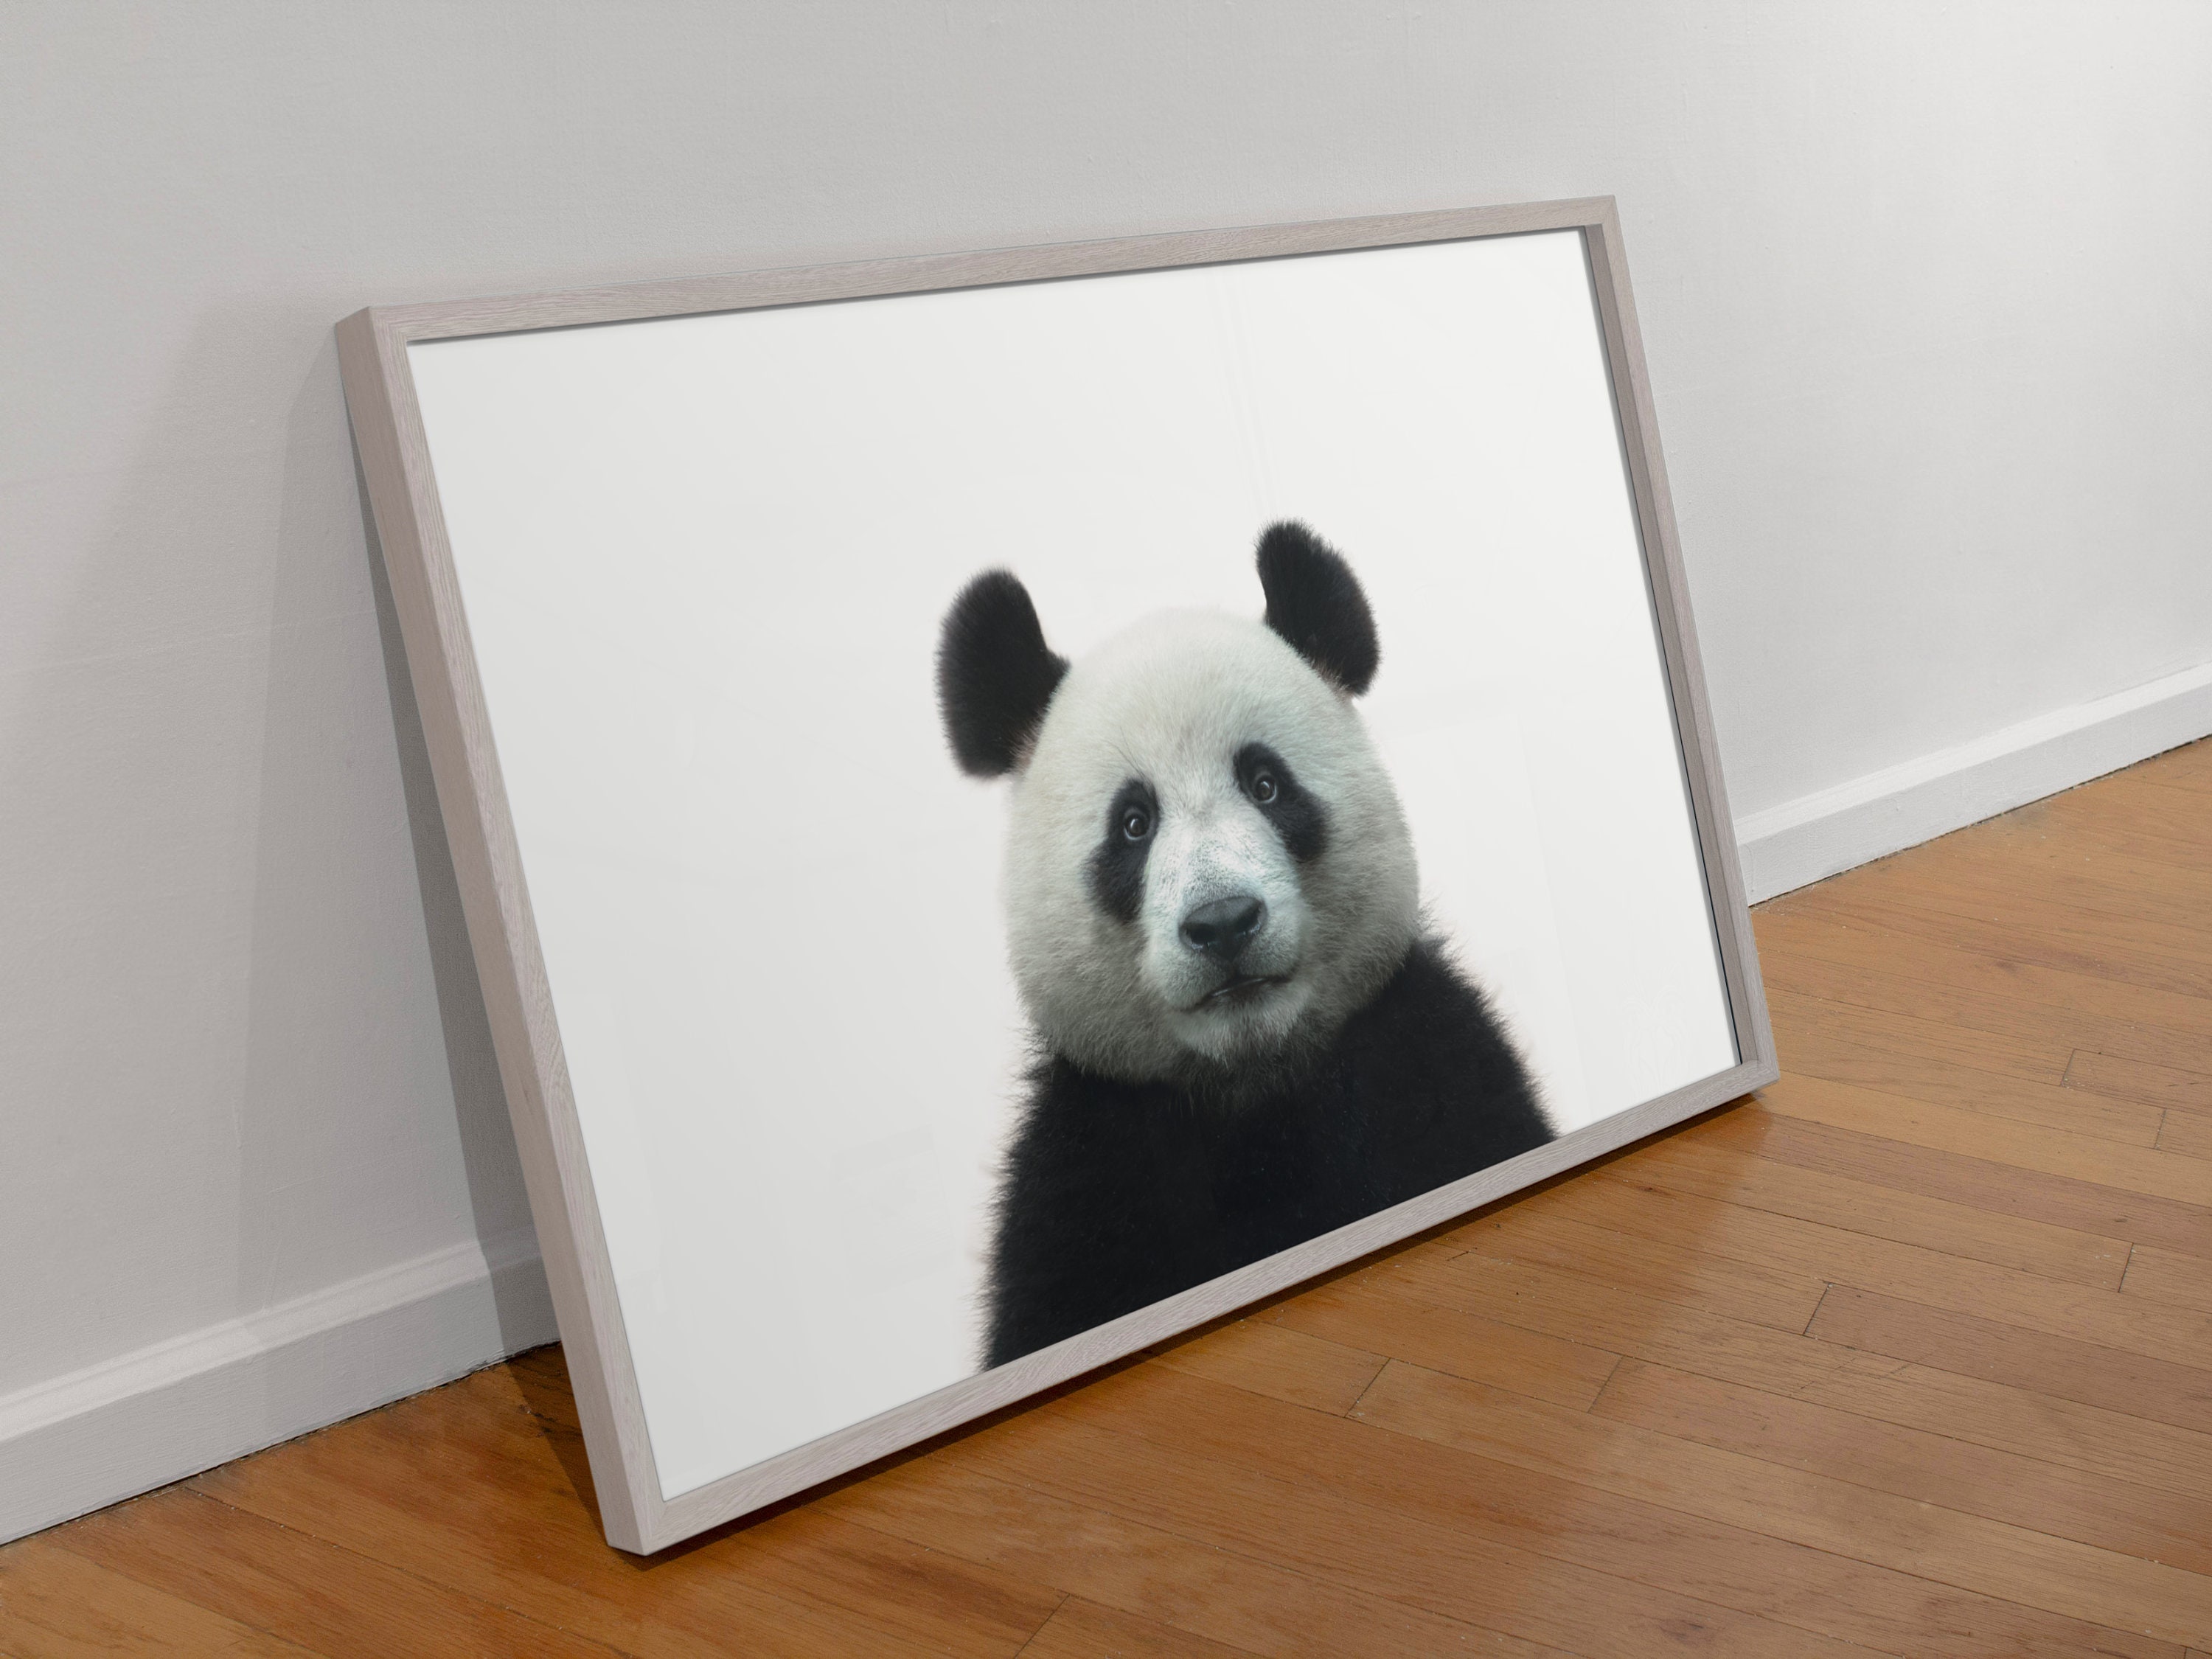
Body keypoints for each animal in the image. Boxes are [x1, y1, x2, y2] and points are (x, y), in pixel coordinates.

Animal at [936, 521, 1553, 1369]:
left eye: (1266, 784)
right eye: (1134, 823)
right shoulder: (1089, 1176)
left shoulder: (1427, 1070)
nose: (1224, 922)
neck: (1254, 1088)